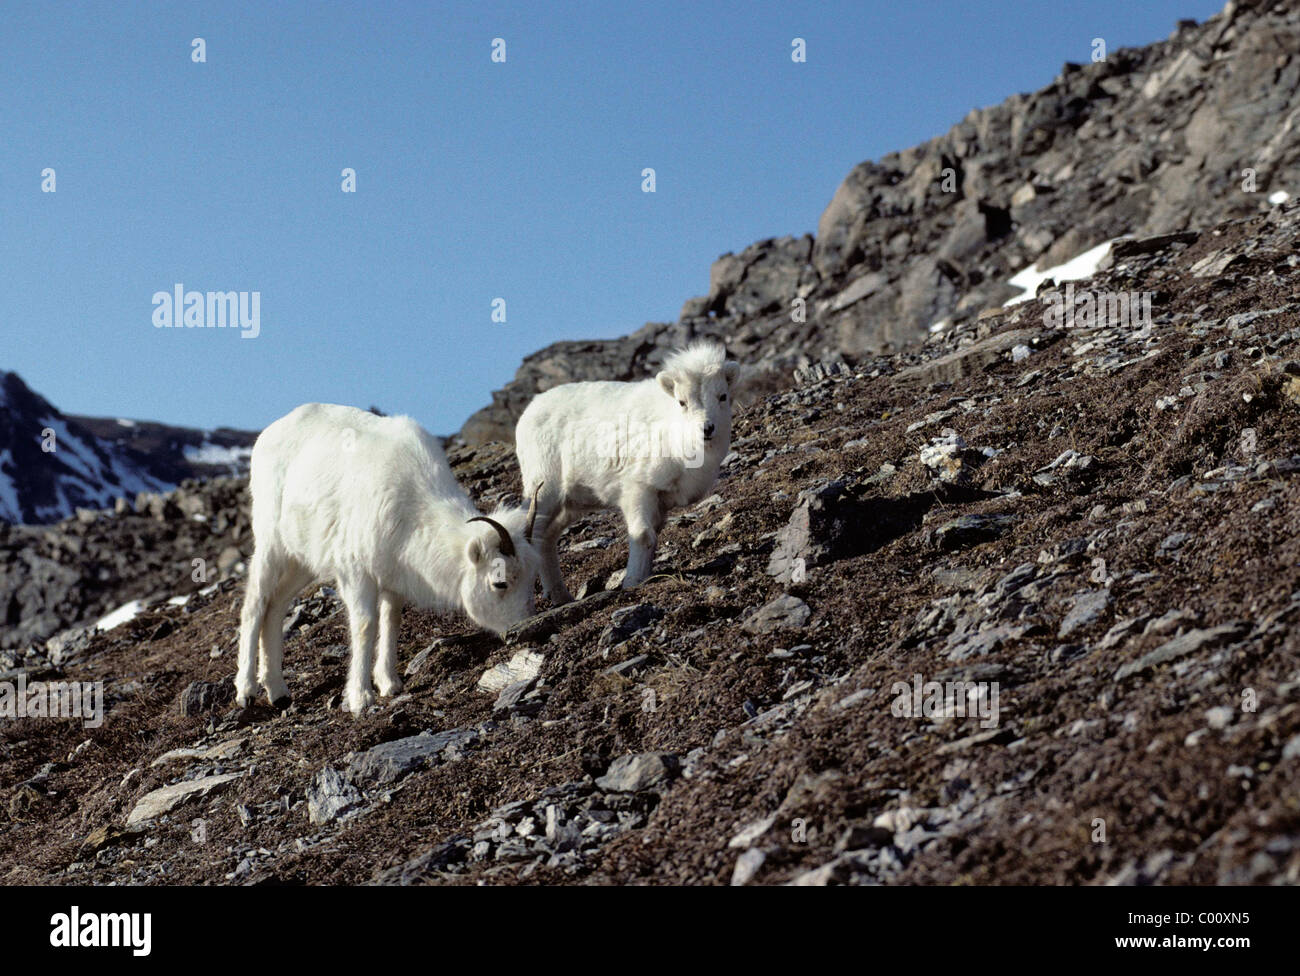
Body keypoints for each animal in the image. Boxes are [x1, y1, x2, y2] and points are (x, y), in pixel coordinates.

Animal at [234, 403, 541, 715]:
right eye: (500, 583)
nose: (522, 630)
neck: (411, 506)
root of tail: (268, 434)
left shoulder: (393, 578)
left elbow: (391, 622)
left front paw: (389, 684)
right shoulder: (356, 573)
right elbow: (365, 625)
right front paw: (360, 698)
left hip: (301, 563)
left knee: (275, 607)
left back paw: (278, 692)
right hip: (271, 546)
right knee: (254, 606)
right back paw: (246, 692)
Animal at [515, 341, 740, 603]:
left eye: (723, 396)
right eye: (681, 402)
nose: (707, 429)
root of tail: (530, 411)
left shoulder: (660, 501)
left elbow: (653, 536)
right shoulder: (637, 490)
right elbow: (642, 535)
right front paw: (632, 582)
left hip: (568, 504)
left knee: (546, 539)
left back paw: (560, 596)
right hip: (543, 491)